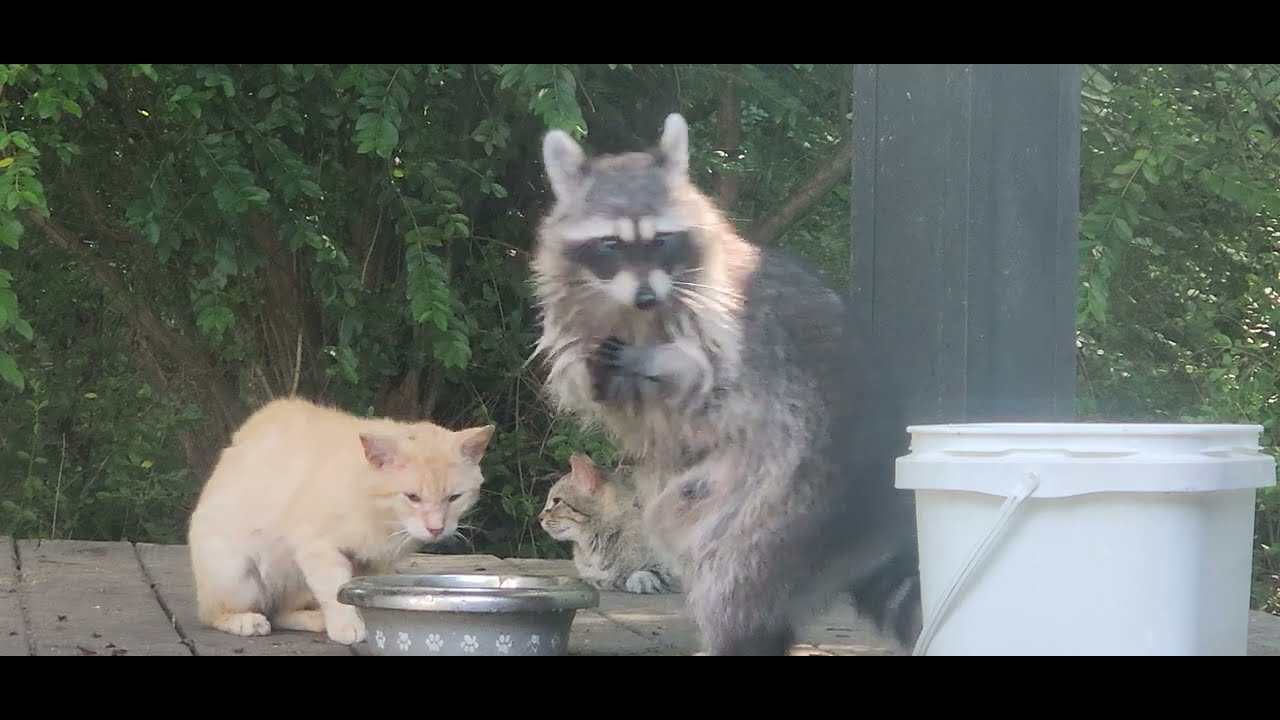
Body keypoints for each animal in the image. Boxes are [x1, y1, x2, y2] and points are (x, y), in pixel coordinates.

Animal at [528, 113, 921, 655]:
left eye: (661, 239)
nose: (647, 297)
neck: (634, 309)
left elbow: (707, 375)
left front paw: (661, 361)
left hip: (787, 497)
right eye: (611, 243)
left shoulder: (731, 320)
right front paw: (598, 378)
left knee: (733, 583)